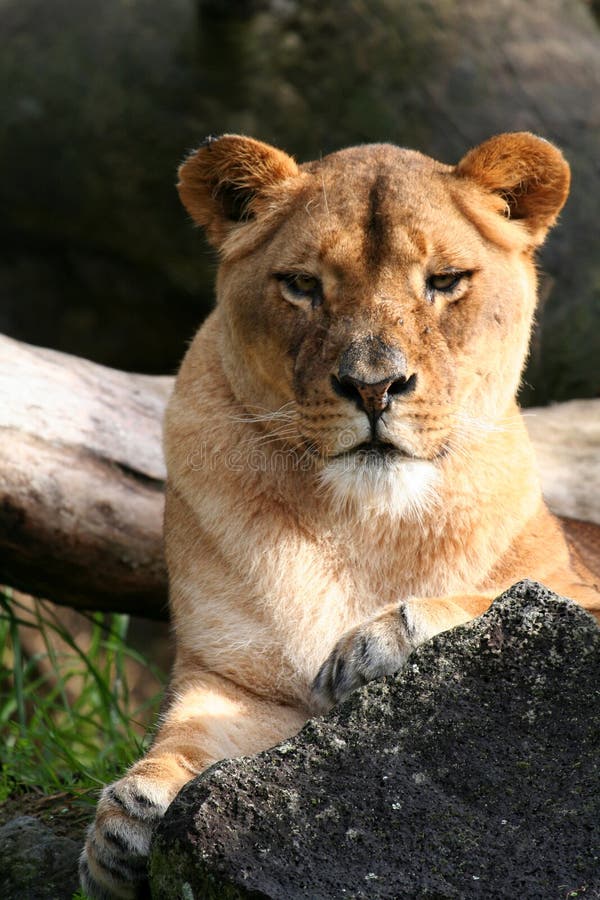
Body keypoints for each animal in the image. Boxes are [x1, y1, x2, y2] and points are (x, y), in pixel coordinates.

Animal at [80, 132, 600, 898]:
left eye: (445, 280)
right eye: (302, 284)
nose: (373, 387)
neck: (365, 523)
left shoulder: (572, 588)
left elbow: (501, 598)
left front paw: (377, 641)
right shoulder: (236, 679)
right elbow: (191, 735)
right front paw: (125, 822)